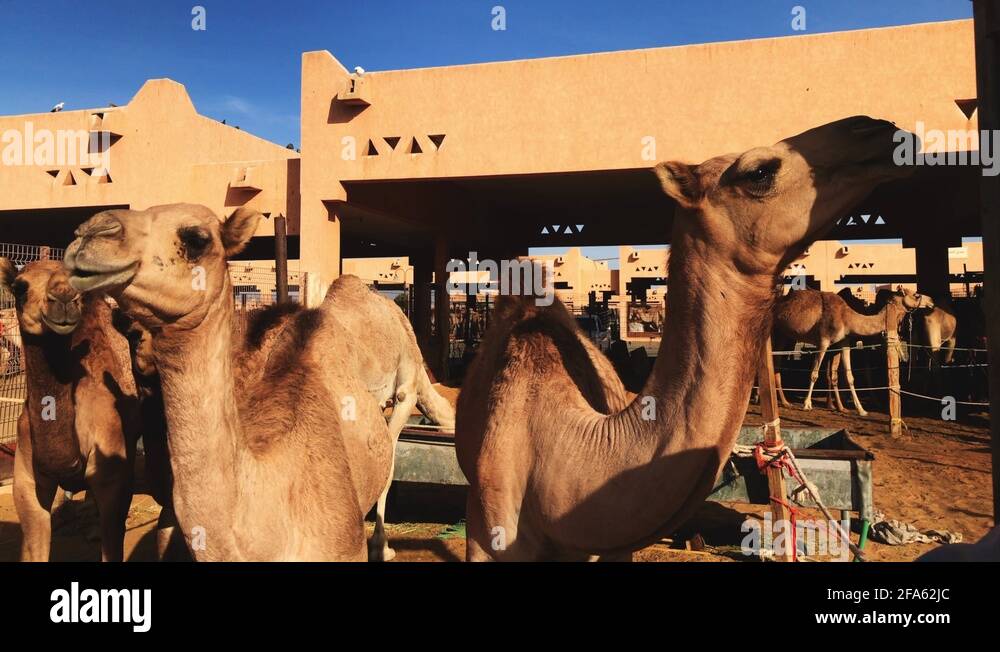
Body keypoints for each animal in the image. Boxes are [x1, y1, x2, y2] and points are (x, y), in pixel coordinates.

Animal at [773, 287, 932, 416]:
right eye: (916, 295)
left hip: (784, 336)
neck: (847, 317)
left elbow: (850, 376)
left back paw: (785, 402)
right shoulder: (823, 341)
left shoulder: (844, 342)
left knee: (776, 364)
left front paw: (861, 410)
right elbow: (814, 373)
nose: (931, 301)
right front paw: (807, 404)